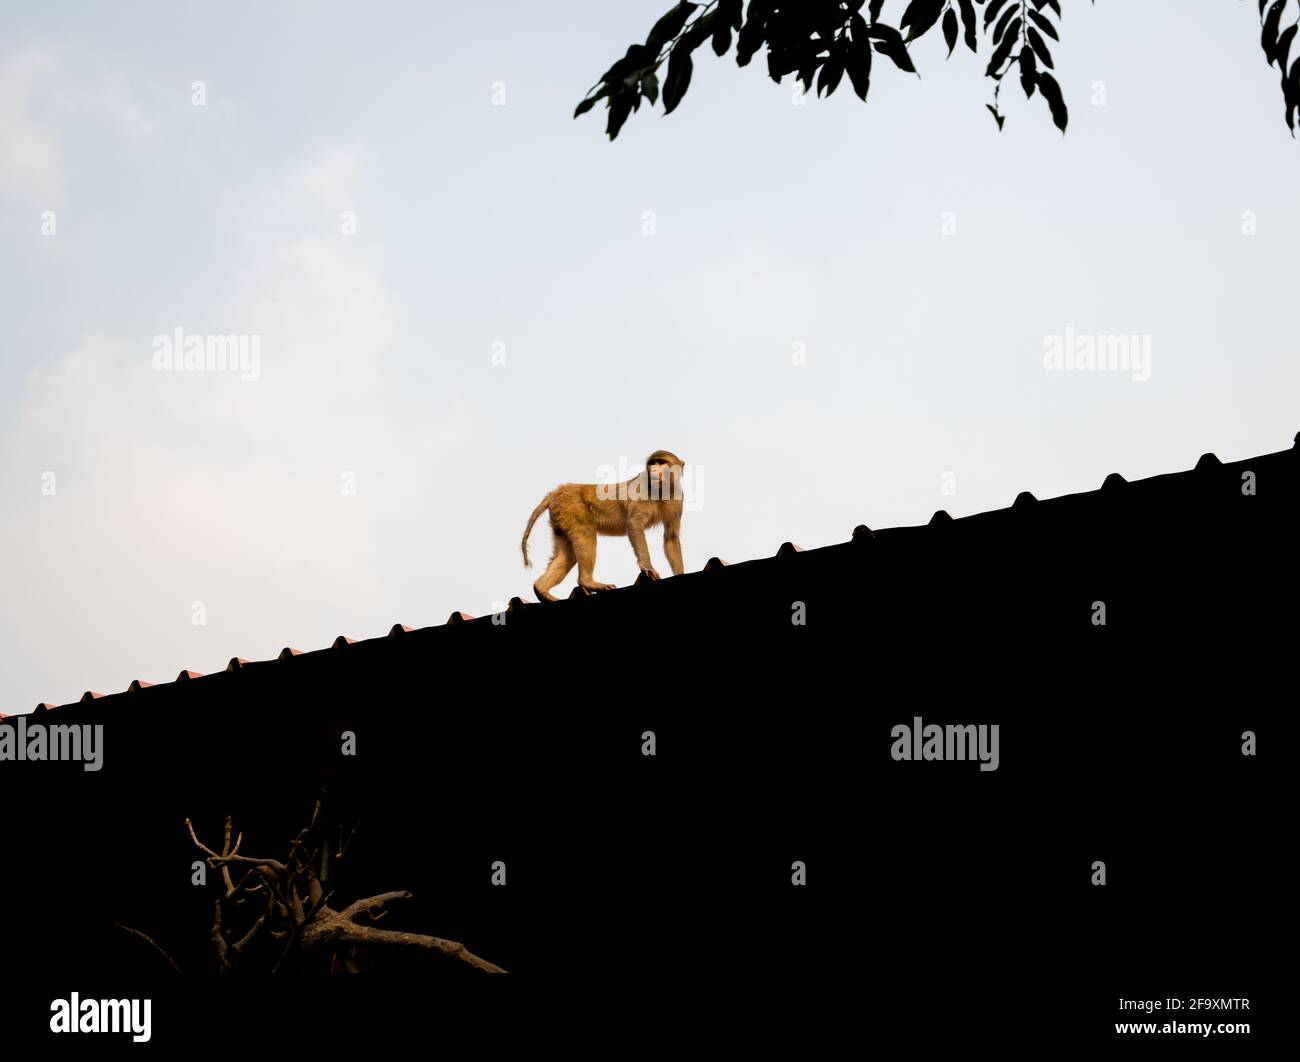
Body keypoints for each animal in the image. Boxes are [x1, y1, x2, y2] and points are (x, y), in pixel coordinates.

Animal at [521, 450, 686, 602]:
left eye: (661, 462)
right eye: (652, 463)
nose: (653, 470)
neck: (661, 490)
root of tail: (556, 492)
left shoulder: (678, 498)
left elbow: (671, 537)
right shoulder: (642, 491)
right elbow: (634, 525)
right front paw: (647, 567)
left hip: (560, 515)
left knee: (568, 554)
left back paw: (541, 589)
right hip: (571, 507)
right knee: (586, 533)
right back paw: (587, 581)